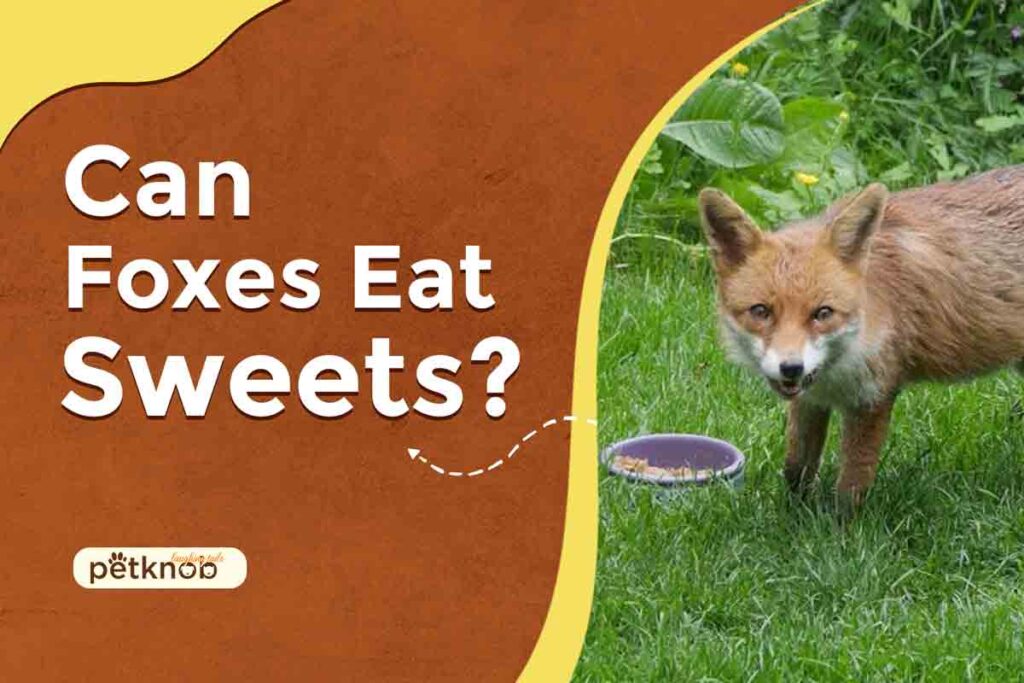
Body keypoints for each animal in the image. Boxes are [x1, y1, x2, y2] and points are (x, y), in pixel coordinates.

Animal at [698, 166, 1024, 510]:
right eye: (761, 311)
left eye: (822, 313)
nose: (791, 368)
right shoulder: (811, 399)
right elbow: (796, 468)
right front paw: (794, 513)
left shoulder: (873, 395)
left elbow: (851, 485)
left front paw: (841, 525)